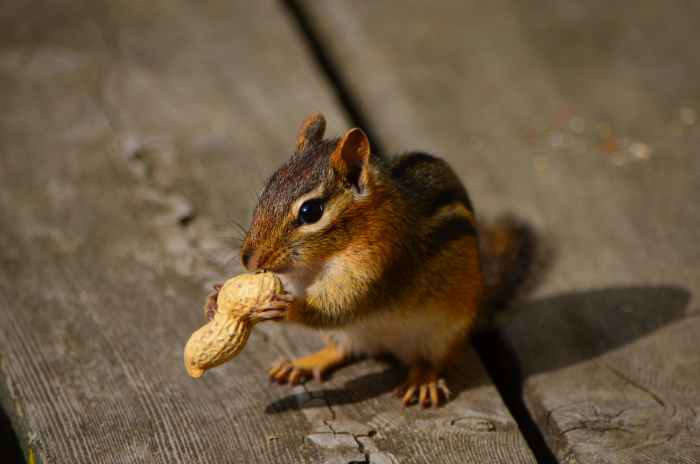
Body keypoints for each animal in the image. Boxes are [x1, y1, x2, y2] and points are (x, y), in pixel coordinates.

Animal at [206, 113, 535, 407]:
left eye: (311, 212)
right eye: (265, 192)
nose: (248, 260)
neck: (318, 262)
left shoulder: (379, 266)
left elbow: (341, 305)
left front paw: (287, 308)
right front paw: (216, 296)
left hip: (444, 332)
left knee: (432, 360)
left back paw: (423, 380)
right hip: (350, 335)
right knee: (343, 350)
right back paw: (303, 362)